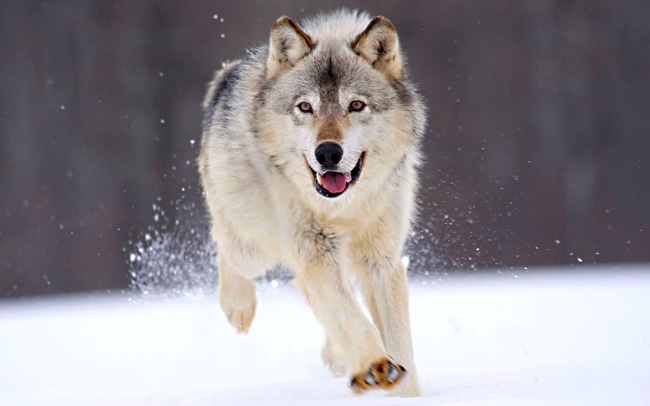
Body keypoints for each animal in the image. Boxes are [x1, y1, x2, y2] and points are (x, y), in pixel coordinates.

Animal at [198, 9, 426, 396]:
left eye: (356, 105)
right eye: (305, 107)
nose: (328, 153)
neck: (344, 208)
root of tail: (228, 73)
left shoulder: (381, 260)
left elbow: (397, 340)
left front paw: (403, 392)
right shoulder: (315, 253)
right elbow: (352, 318)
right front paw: (375, 365)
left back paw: (337, 357)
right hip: (254, 245)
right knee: (225, 244)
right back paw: (238, 307)